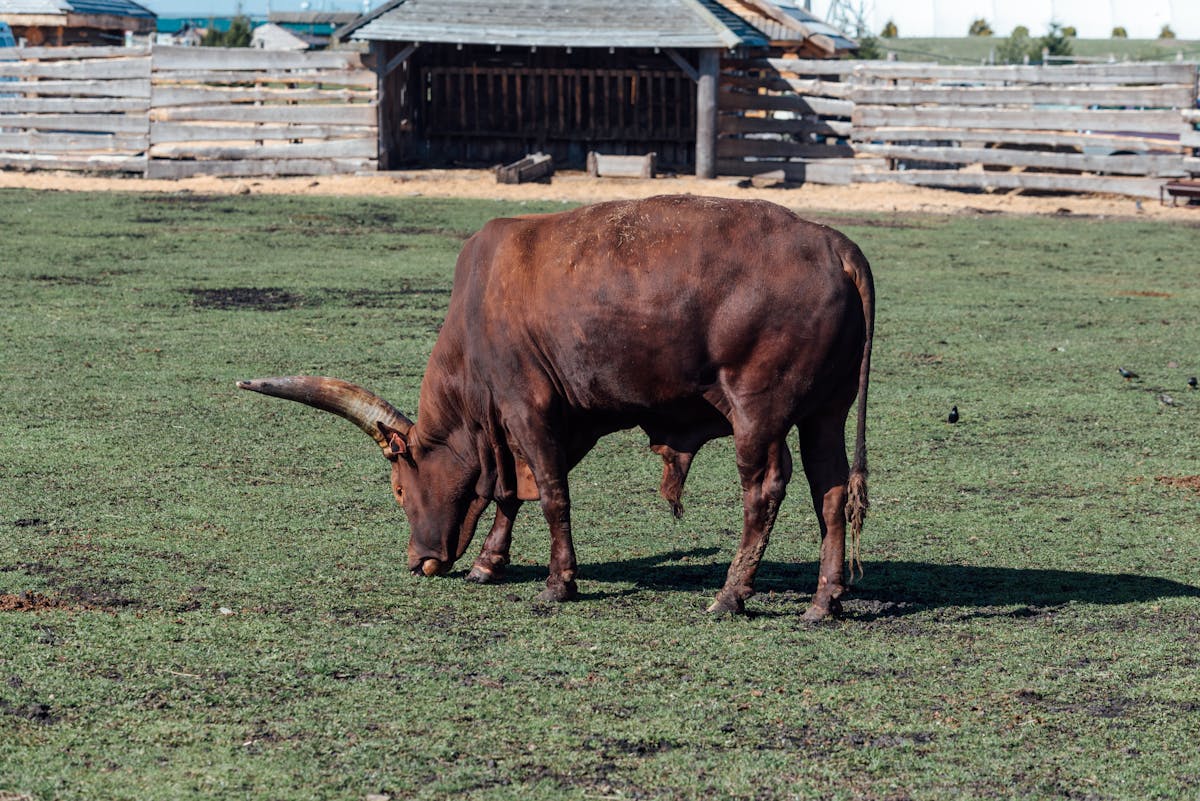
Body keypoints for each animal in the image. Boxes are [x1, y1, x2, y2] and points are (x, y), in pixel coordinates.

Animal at [238, 194, 874, 621]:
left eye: (398, 488)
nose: (418, 560)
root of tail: (831, 243)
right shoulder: (520, 427)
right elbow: (507, 494)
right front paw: (489, 563)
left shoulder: (528, 408)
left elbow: (547, 493)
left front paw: (558, 581)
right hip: (826, 413)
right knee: (830, 488)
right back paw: (825, 599)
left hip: (756, 412)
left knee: (764, 490)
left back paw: (731, 594)